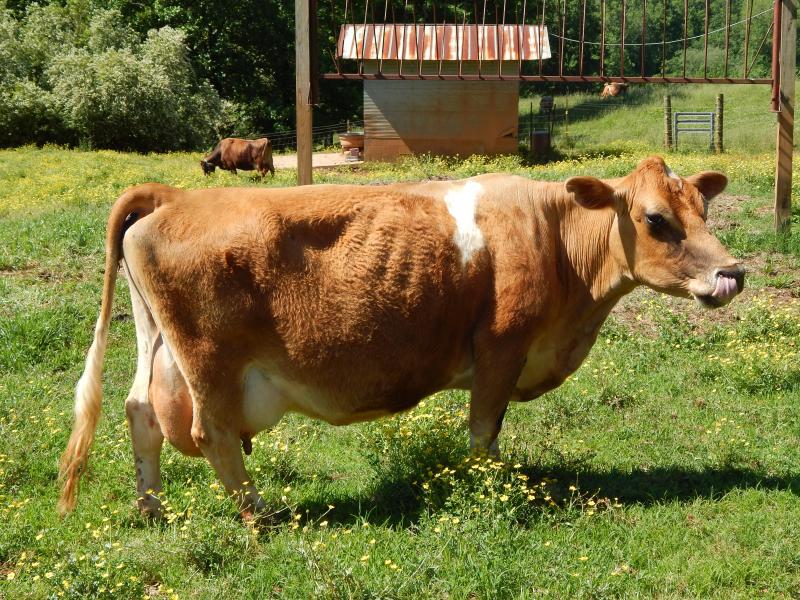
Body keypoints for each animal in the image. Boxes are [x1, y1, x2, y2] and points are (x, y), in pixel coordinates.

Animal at [59, 157, 744, 522]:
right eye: (655, 219)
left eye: (704, 212)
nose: (732, 273)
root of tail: (173, 195)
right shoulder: (501, 348)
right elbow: (484, 433)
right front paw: (484, 488)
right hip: (209, 362)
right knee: (212, 435)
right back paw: (261, 518)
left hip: (160, 347)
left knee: (141, 414)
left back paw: (152, 510)